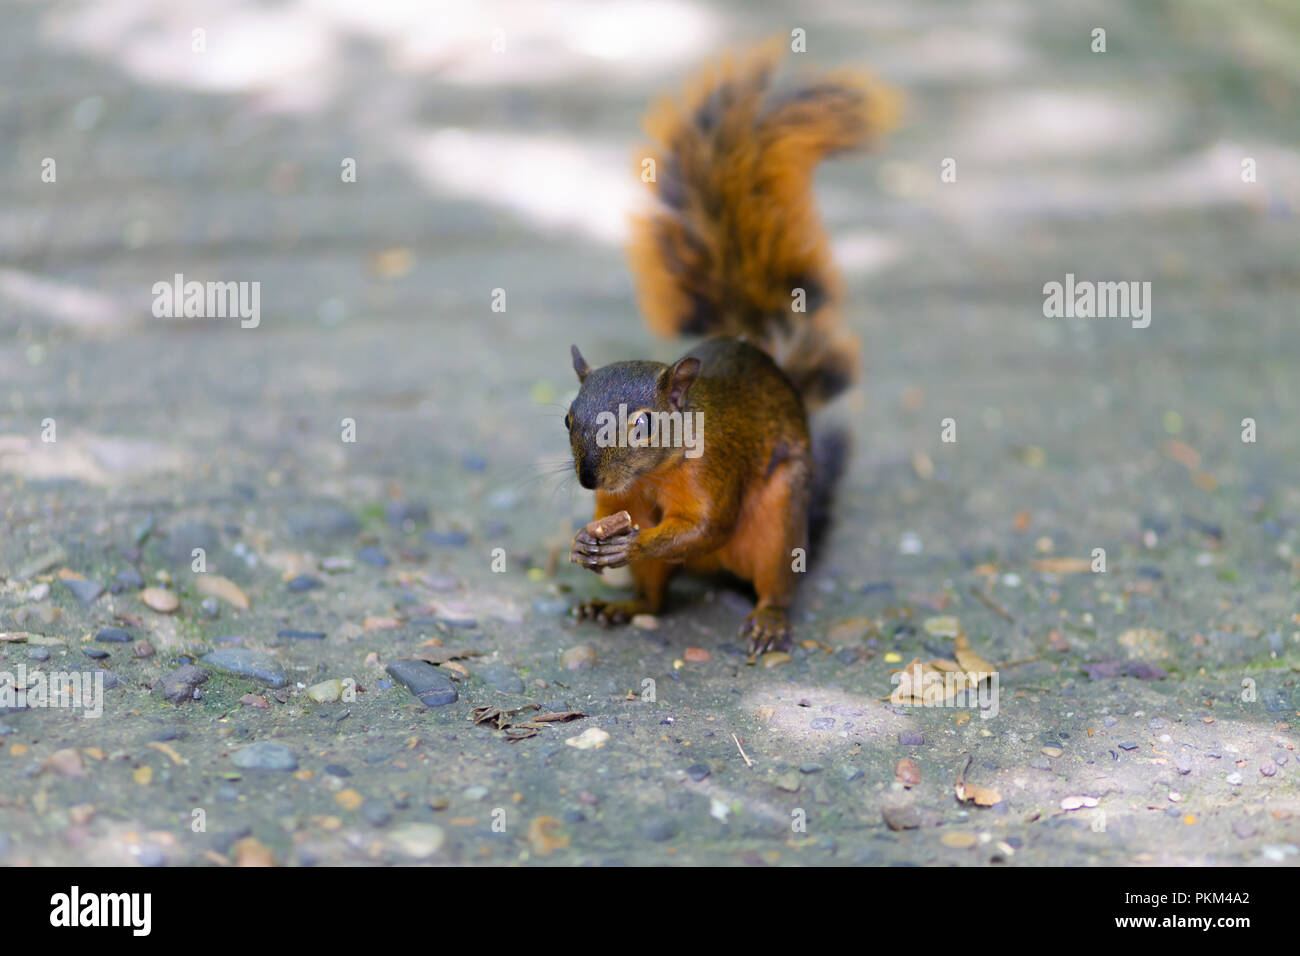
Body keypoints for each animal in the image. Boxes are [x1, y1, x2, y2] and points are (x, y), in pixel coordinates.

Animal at [565, 41, 898, 654]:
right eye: (567, 419)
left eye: (645, 424)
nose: (588, 478)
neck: (654, 475)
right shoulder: (618, 500)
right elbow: (612, 517)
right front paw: (583, 543)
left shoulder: (715, 471)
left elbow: (704, 525)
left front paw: (634, 544)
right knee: (656, 600)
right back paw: (620, 606)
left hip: (779, 521)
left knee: (775, 582)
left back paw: (768, 620)